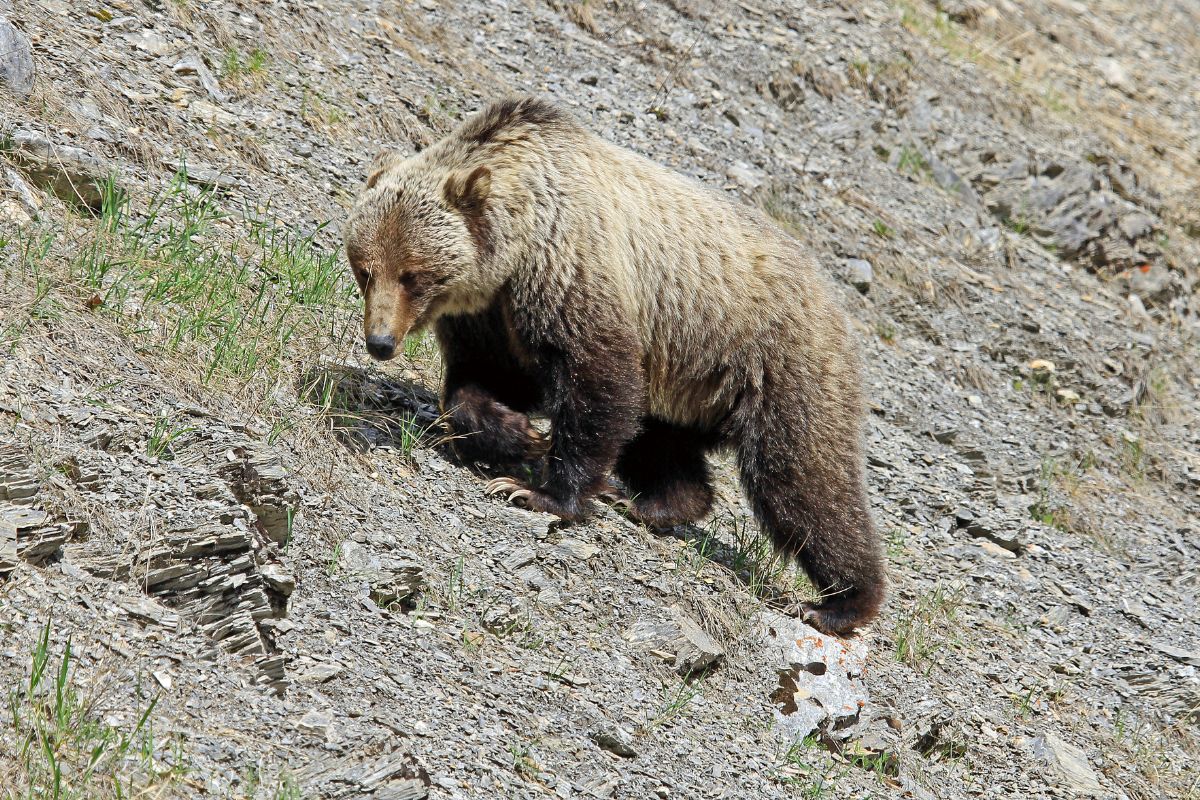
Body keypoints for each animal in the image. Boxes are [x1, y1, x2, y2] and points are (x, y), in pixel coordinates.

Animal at [343, 96, 885, 635]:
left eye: (412, 274)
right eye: (365, 269)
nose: (380, 341)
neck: (514, 250)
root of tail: (835, 300)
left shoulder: (571, 273)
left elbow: (595, 382)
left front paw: (536, 491)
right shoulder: (488, 316)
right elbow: (481, 384)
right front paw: (517, 435)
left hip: (775, 361)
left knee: (801, 478)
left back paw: (839, 602)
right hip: (685, 377)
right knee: (660, 443)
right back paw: (649, 503)